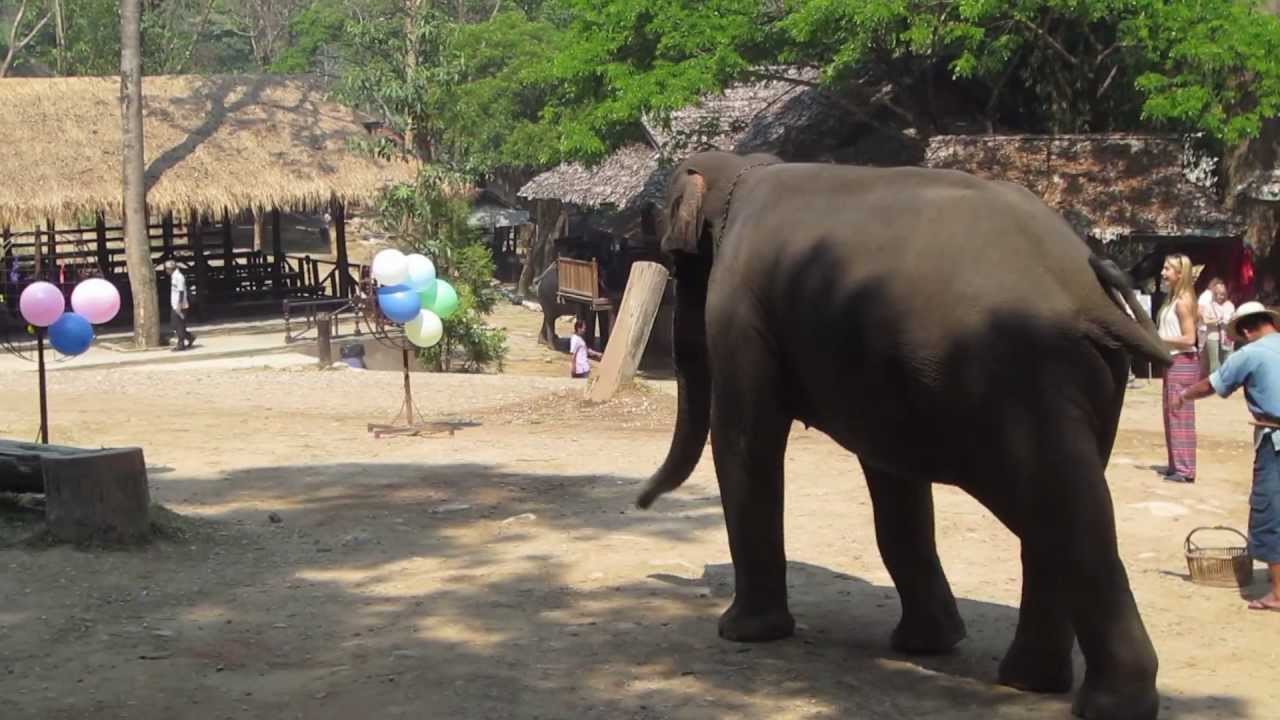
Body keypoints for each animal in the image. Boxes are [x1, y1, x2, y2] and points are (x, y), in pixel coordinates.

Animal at [634, 150, 1171, 720]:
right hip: (1086, 381)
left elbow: (745, 438)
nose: (640, 502)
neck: (741, 170)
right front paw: (927, 645)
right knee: (1061, 512)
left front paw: (742, 634)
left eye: (675, 262)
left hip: (1021, 379)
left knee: (1063, 510)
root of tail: (1090, 289)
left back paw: (1106, 703)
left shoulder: (740, 308)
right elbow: (893, 481)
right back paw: (1030, 682)